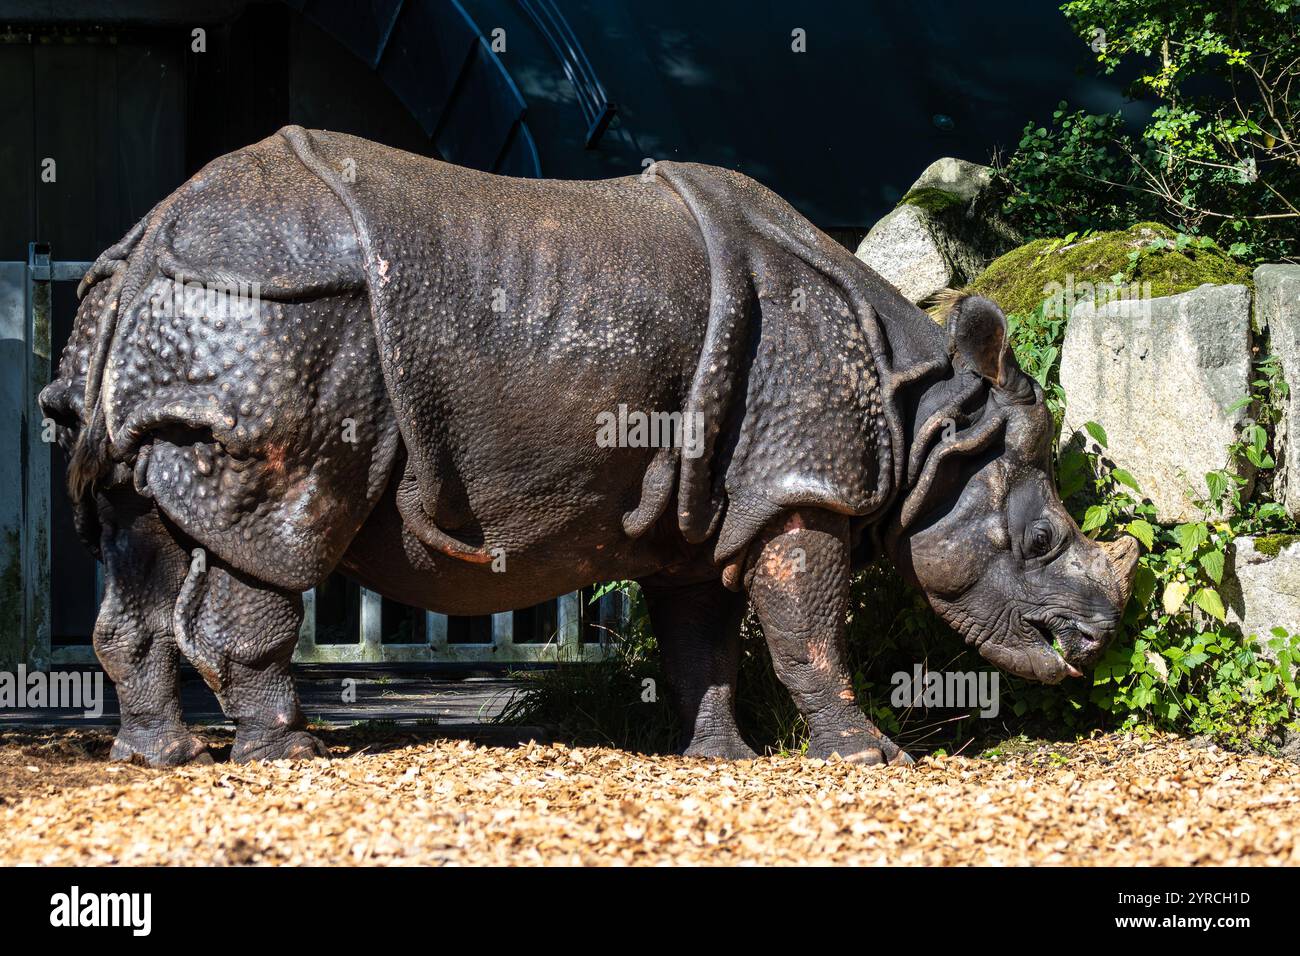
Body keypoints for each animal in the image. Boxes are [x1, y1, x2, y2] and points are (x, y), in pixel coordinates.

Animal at [39, 127, 1139, 767]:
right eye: (1043, 545)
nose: (1094, 643)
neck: (926, 426)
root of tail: (153, 235)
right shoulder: (801, 485)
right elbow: (807, 632)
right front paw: (870, 758)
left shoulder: (710, 506)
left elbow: (705, 642)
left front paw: (724, 761)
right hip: (285, 317)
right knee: (281, 532)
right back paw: (287, 759)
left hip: (183, 318)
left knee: (139, 537)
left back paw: (159, 759)